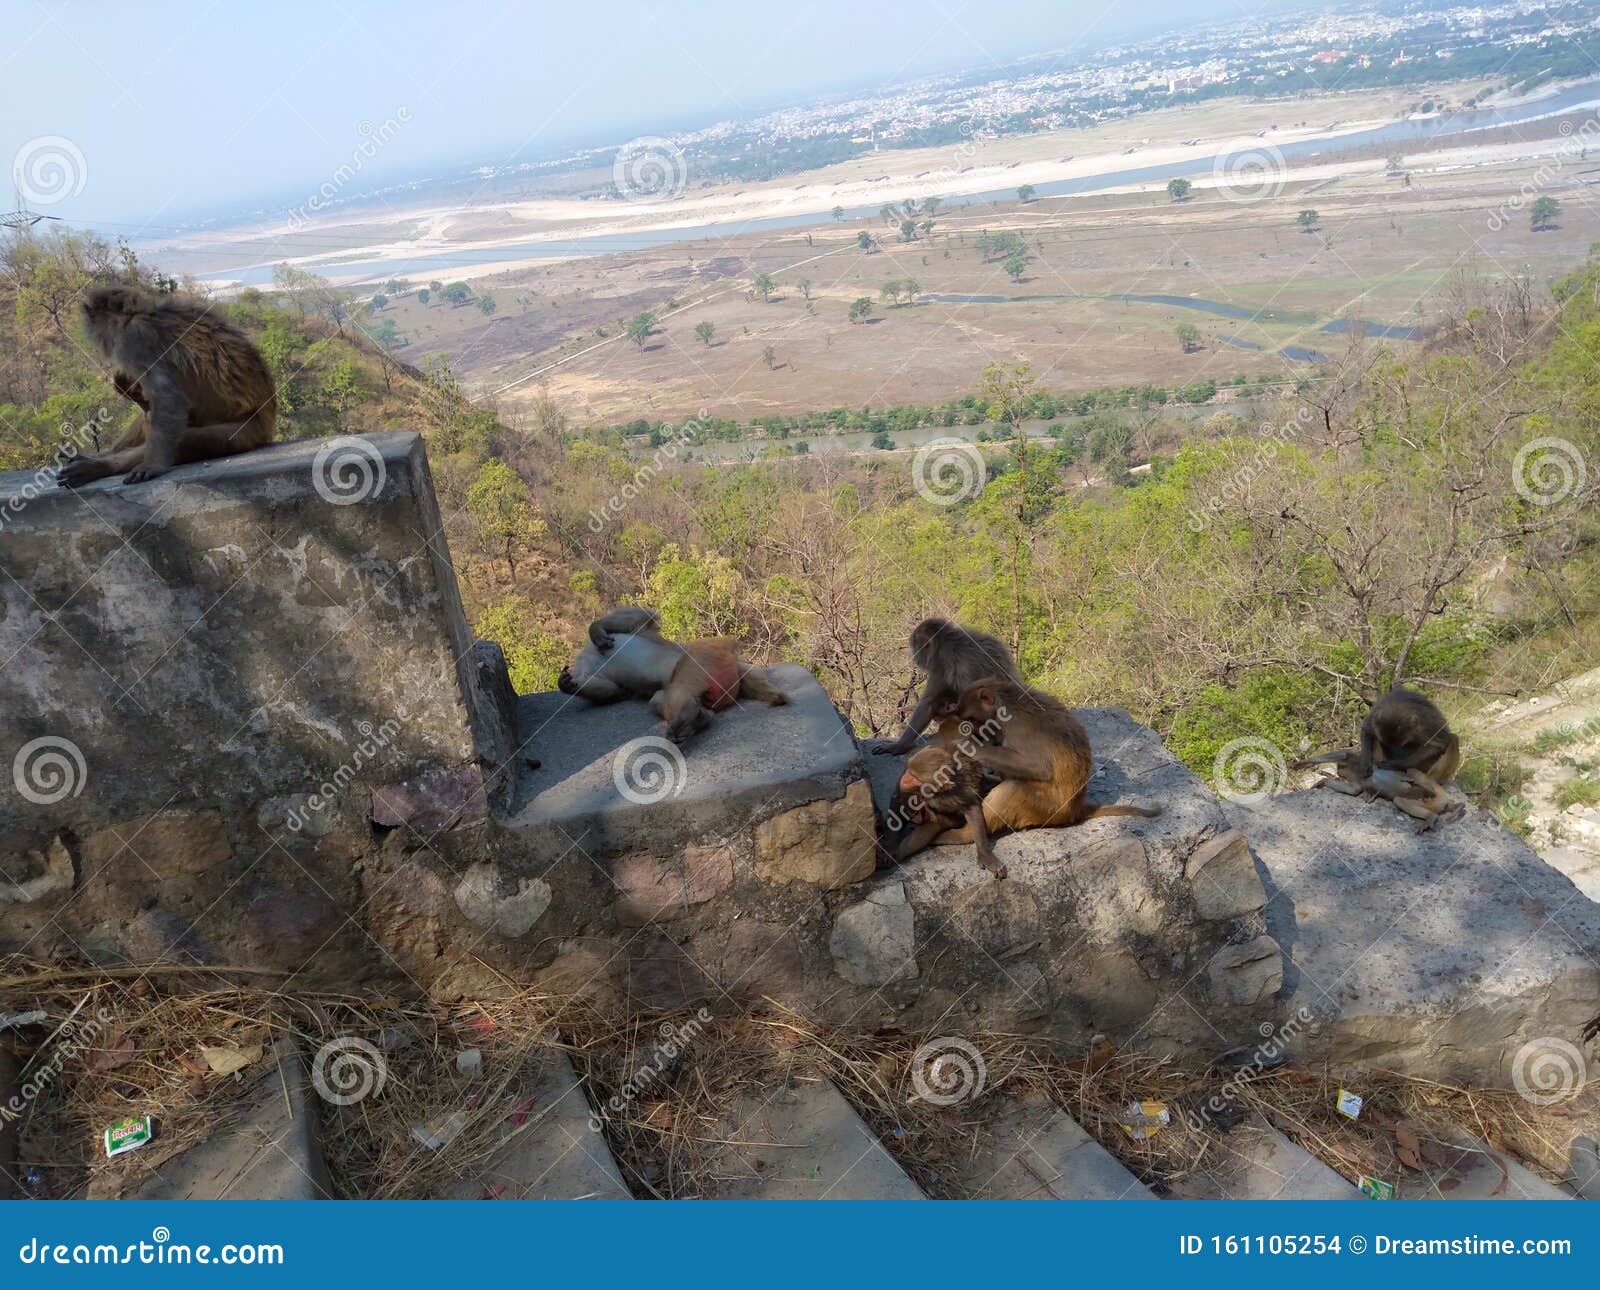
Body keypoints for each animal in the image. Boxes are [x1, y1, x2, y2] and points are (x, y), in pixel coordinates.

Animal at [55, 285, 276, 488]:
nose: (91, 335)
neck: (136, 315)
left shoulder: (135, 340)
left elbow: (168, 399)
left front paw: (152, 466)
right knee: (151, 415)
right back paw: (104, 455)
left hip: (247, 431)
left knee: (185, 438)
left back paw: (99, 467)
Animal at [557, 606, 788, 742]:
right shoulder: (587, 666)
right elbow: (613, 691)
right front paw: (570, 686)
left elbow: (643, 617)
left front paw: (596, 629)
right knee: (661, 697)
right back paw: (697, 718)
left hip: (700, 660)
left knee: (679, 688)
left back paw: (689, 716)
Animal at [874, 617, 1021, 755]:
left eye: (916, 646)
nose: (915, 655)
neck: (946, 647)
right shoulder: (939, 666)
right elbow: (928, 702)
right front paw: (900, 745)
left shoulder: (962, 662)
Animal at [892, 744, 1006, 878]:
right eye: (909, 772)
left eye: (914, 778)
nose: (904, 779)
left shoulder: (962, 789)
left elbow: (972, 810)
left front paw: (985, 854)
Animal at [935, 676, 1161, 838]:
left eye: (972, 718)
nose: (977, 731)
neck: (1008, 704)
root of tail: (1075, 809)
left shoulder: (1017, 727)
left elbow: (1038, 767)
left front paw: (968, 747)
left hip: (1047, 809)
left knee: (1014, 789)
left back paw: (961, 836)